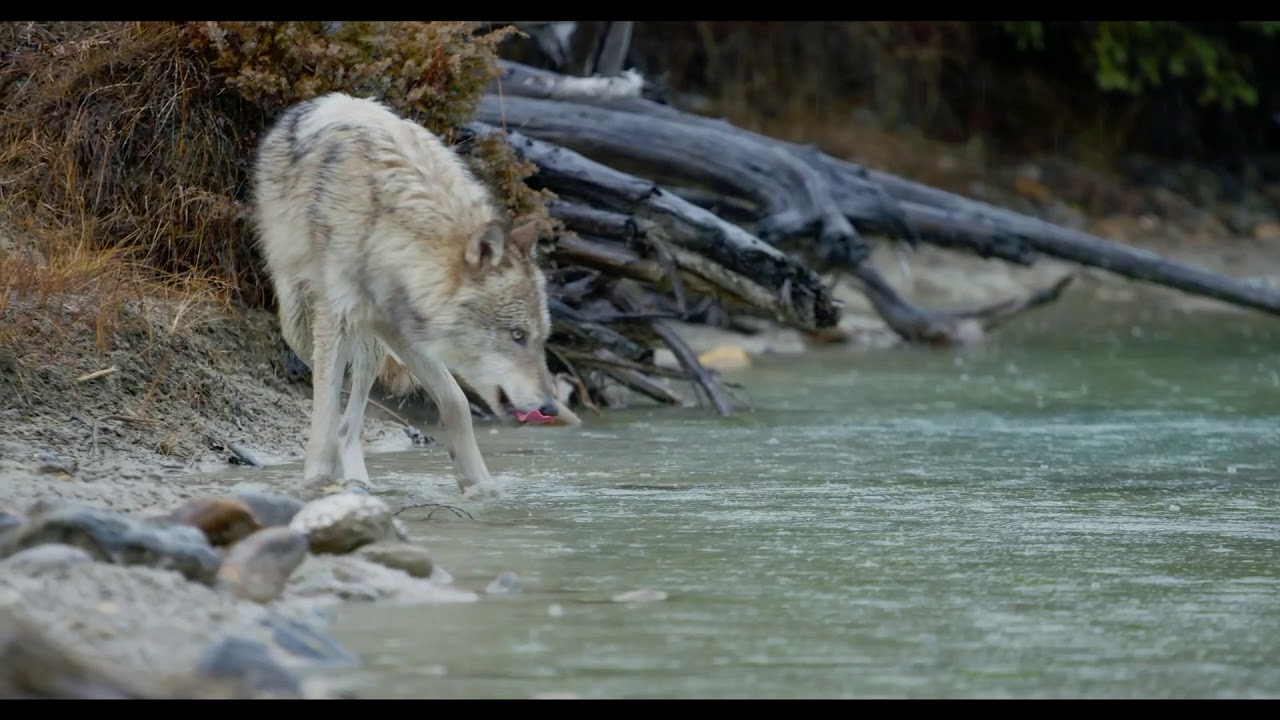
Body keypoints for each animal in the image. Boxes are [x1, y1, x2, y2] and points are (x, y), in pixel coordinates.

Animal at [250, 92, 578, 494]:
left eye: (540, 339)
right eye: (517, 336)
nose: (549, 408)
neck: (386, 228)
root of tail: (316, 101)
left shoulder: (404, 329)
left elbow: (456, 403)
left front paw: (481, 486)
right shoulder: (338, 322)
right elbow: (324, 422)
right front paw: (316, 485)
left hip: (373, 346)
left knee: (350, 425)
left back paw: (360, 484)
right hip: (303, 328)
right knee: (336, 411)